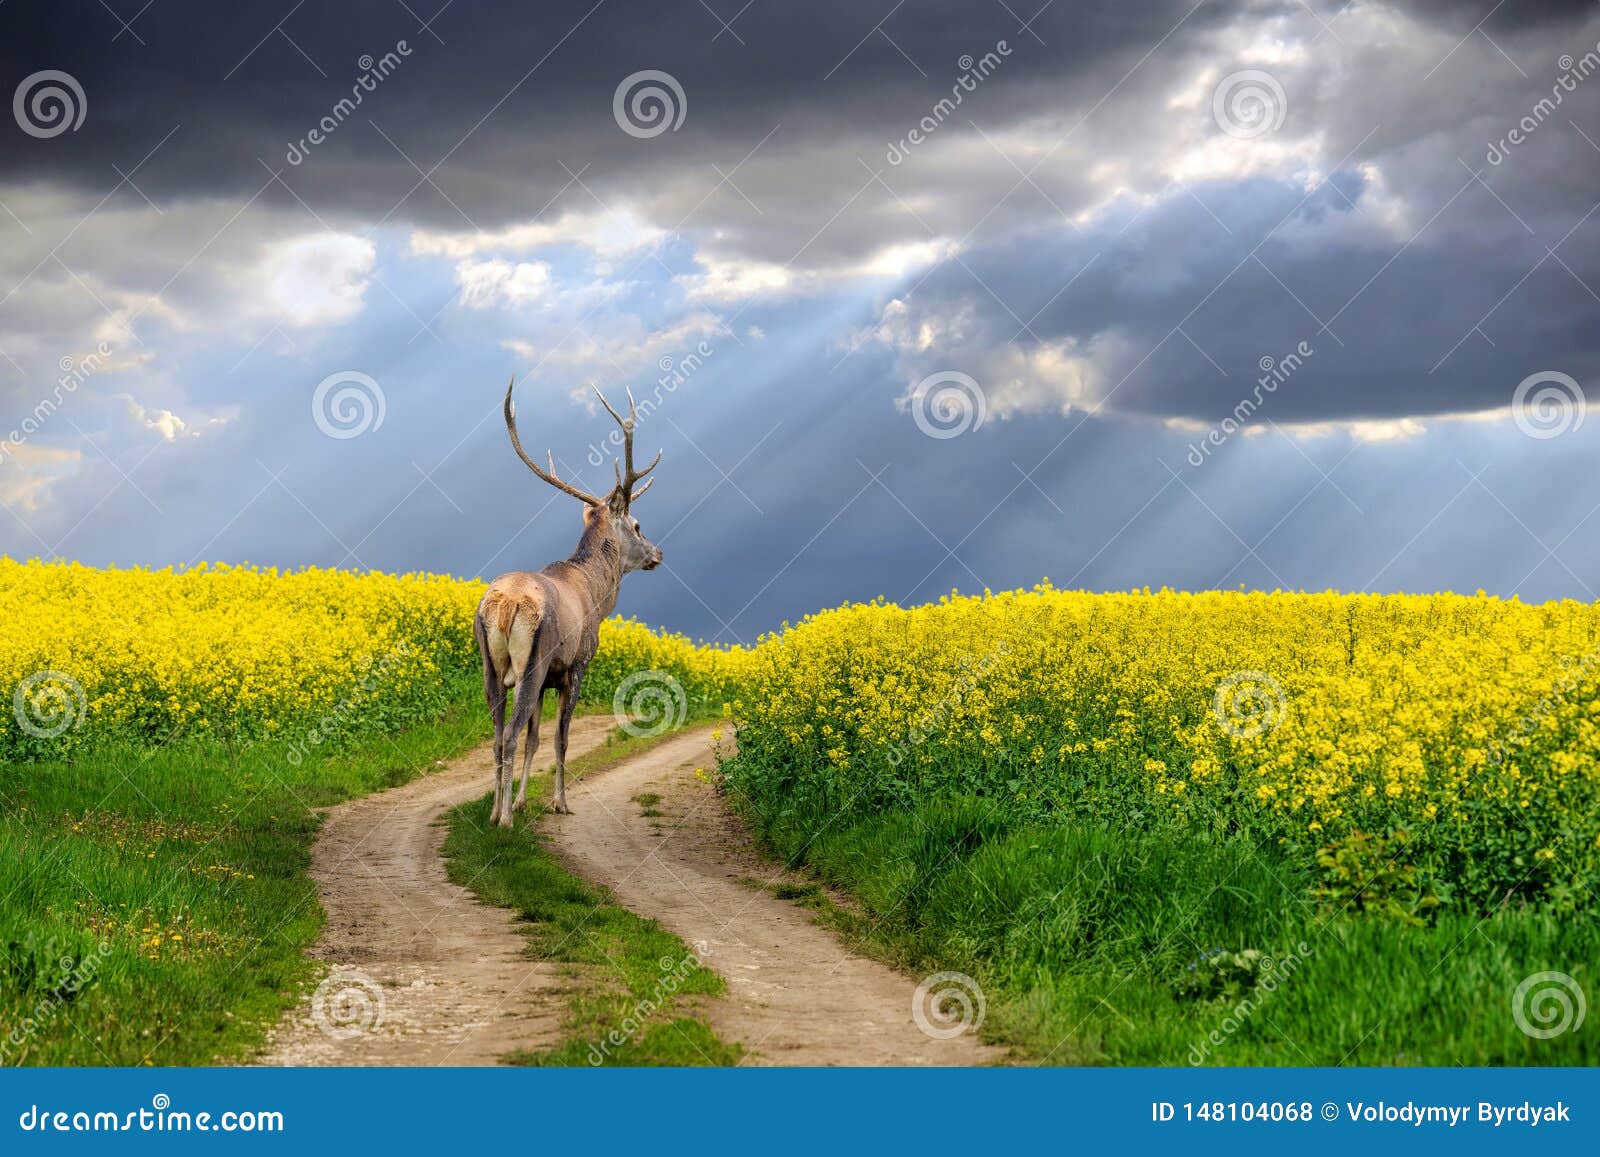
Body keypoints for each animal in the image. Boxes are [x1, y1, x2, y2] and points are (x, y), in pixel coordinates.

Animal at [475, 377, 663, 827]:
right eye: (637, 525)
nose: (658, 553)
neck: (598, 598)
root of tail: (505, 606)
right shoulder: (574, 666)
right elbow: (560, 739)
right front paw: (558, 802)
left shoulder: (546, 680)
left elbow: (535, 739)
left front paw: (522, 801)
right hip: (534, 660)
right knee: (509, 736)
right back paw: (504, 821)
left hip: (491, 665)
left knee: (497, 735)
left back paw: (493, 812)